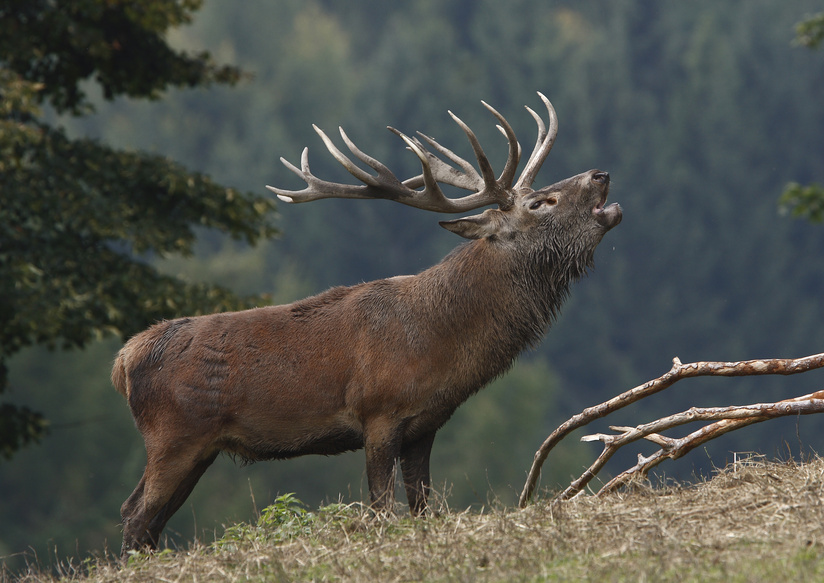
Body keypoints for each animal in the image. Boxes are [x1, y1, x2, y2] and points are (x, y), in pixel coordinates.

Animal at [113, 92, 622, 556]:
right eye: (540, 203)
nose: (601, 174)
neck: (442, 343)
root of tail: (123, 361)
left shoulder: (425, 424)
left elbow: (421, 508)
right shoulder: (378, 413)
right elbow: (380, 508)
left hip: (200, 446)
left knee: (148, 519)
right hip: (174, 434)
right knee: (135, 514)